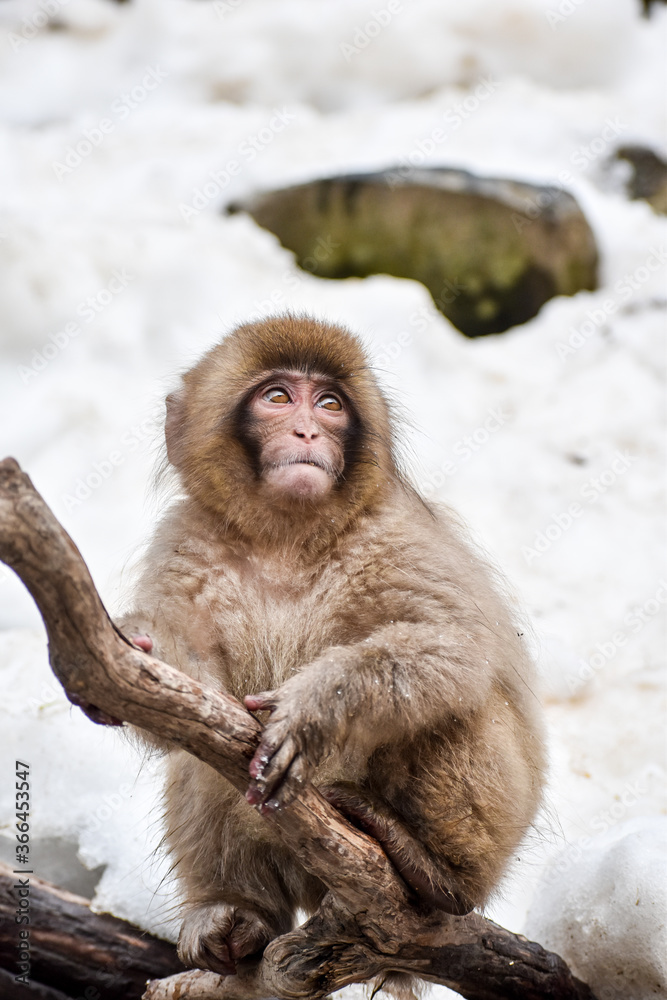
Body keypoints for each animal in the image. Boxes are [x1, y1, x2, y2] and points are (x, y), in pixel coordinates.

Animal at [114, 314, 545, 978]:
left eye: (330, 403)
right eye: (277, 397)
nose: (308, 429)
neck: (285, 540)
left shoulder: (392, 533)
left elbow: (454, 647)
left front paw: (314, 709)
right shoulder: (185, 541)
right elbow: (187, 701)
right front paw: (144, 647)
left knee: (460, 704)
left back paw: (435, 872)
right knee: (201, 754)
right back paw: (235, 914)